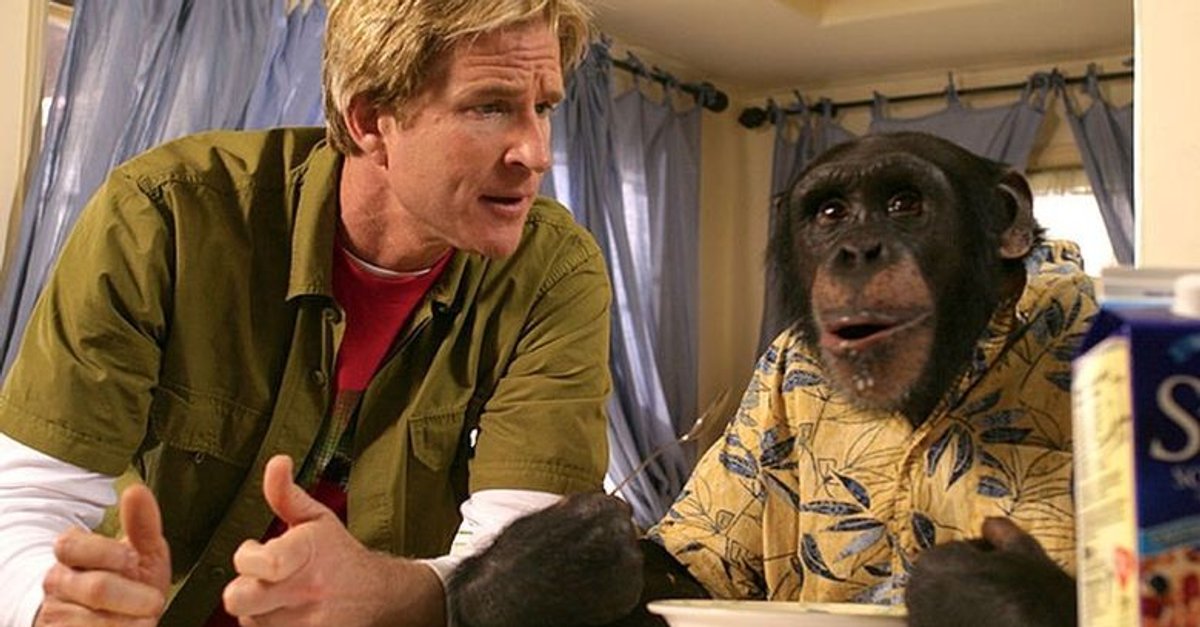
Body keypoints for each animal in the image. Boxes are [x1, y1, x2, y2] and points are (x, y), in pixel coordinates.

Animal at [445, 132, 1096, 627]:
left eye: (905, 203)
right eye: (831, 213)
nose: (858, 250)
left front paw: (988, 591)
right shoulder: (770, 376)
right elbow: (694, 574)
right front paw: (542, 571)